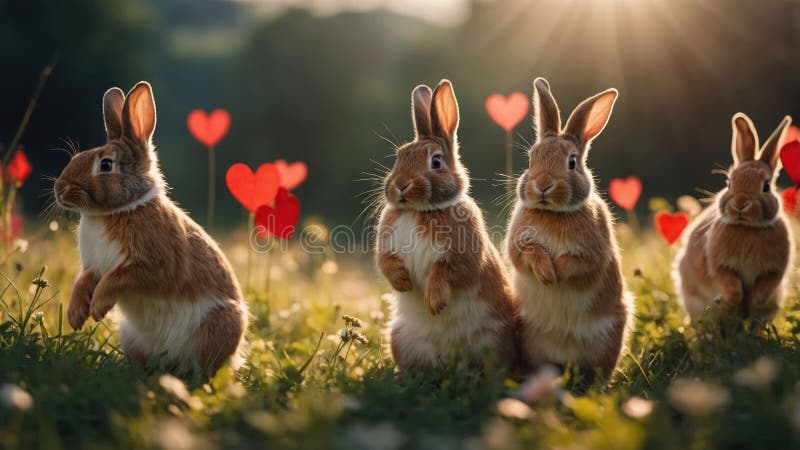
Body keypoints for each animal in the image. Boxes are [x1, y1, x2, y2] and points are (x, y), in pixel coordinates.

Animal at [54, 82, 248, 377]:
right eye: (77, 156)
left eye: (106, 164)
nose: (60, 189)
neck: (116, 212)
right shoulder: (93, 266)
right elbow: (83, 280)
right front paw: (75, 316)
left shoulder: (155, 265)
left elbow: (119, 277)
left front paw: (98, 307)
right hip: (131, 336)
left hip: (216, 326)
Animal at [375, 79, 518, 371]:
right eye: (398, 157)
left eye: (436, 161)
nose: (401, 185)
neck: (420, 212)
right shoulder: (386, 247)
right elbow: (386, 263)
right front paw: (402, 282)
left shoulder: (465, 256)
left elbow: (446, 271)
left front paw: (435, 302)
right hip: (401, 338)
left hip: (493, 338)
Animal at [506, 78, 633, 378]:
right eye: (531, 160)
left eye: (572, 162)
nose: (542, 184)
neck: (553, 213)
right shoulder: (518, 244)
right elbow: (528, 255)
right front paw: (545, 272)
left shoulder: (593, 253)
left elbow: (574, 263)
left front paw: (554, 275)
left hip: (609, 338)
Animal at [674, 113, 793, 322]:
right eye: (729, 182)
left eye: (766, 186)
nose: (740, 204)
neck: (747, 228)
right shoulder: (718, 266)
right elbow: (732, 288)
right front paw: (732, 304)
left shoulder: (774, 272)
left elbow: (762, 292)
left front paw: (752, 305)